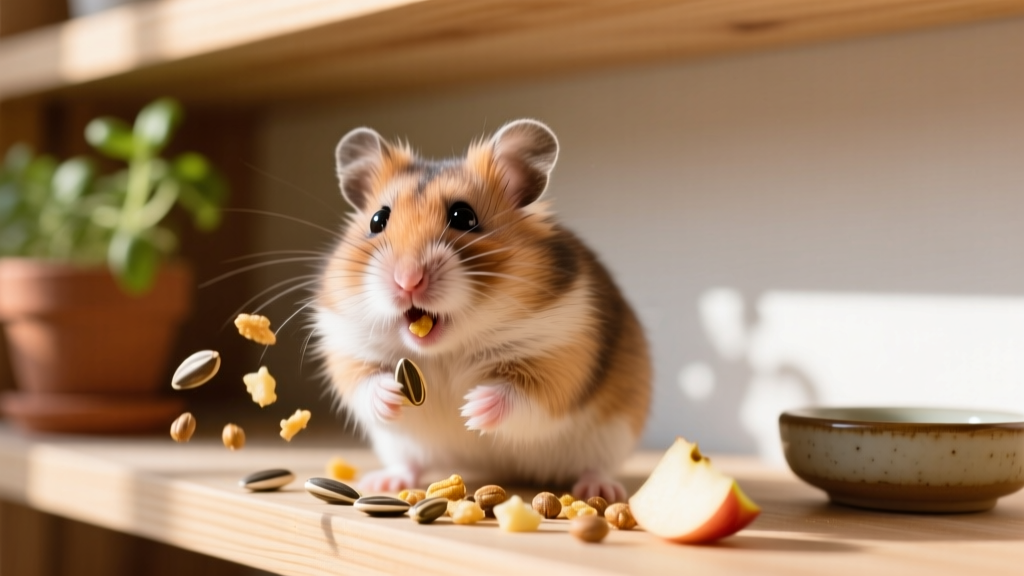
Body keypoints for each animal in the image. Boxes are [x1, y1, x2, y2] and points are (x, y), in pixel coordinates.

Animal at [313, 119, 651, 502]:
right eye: (377, 220)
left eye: (464, 216)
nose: (407, 280)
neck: (447, 347)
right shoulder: (347, 345)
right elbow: (363, 383)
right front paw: (393, 397)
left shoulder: (564, 352)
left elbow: (527, 394)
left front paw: (470, 409)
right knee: (408, 463)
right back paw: (384, 482)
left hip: (613, 433)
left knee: (596, 466)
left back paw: (601, 488)